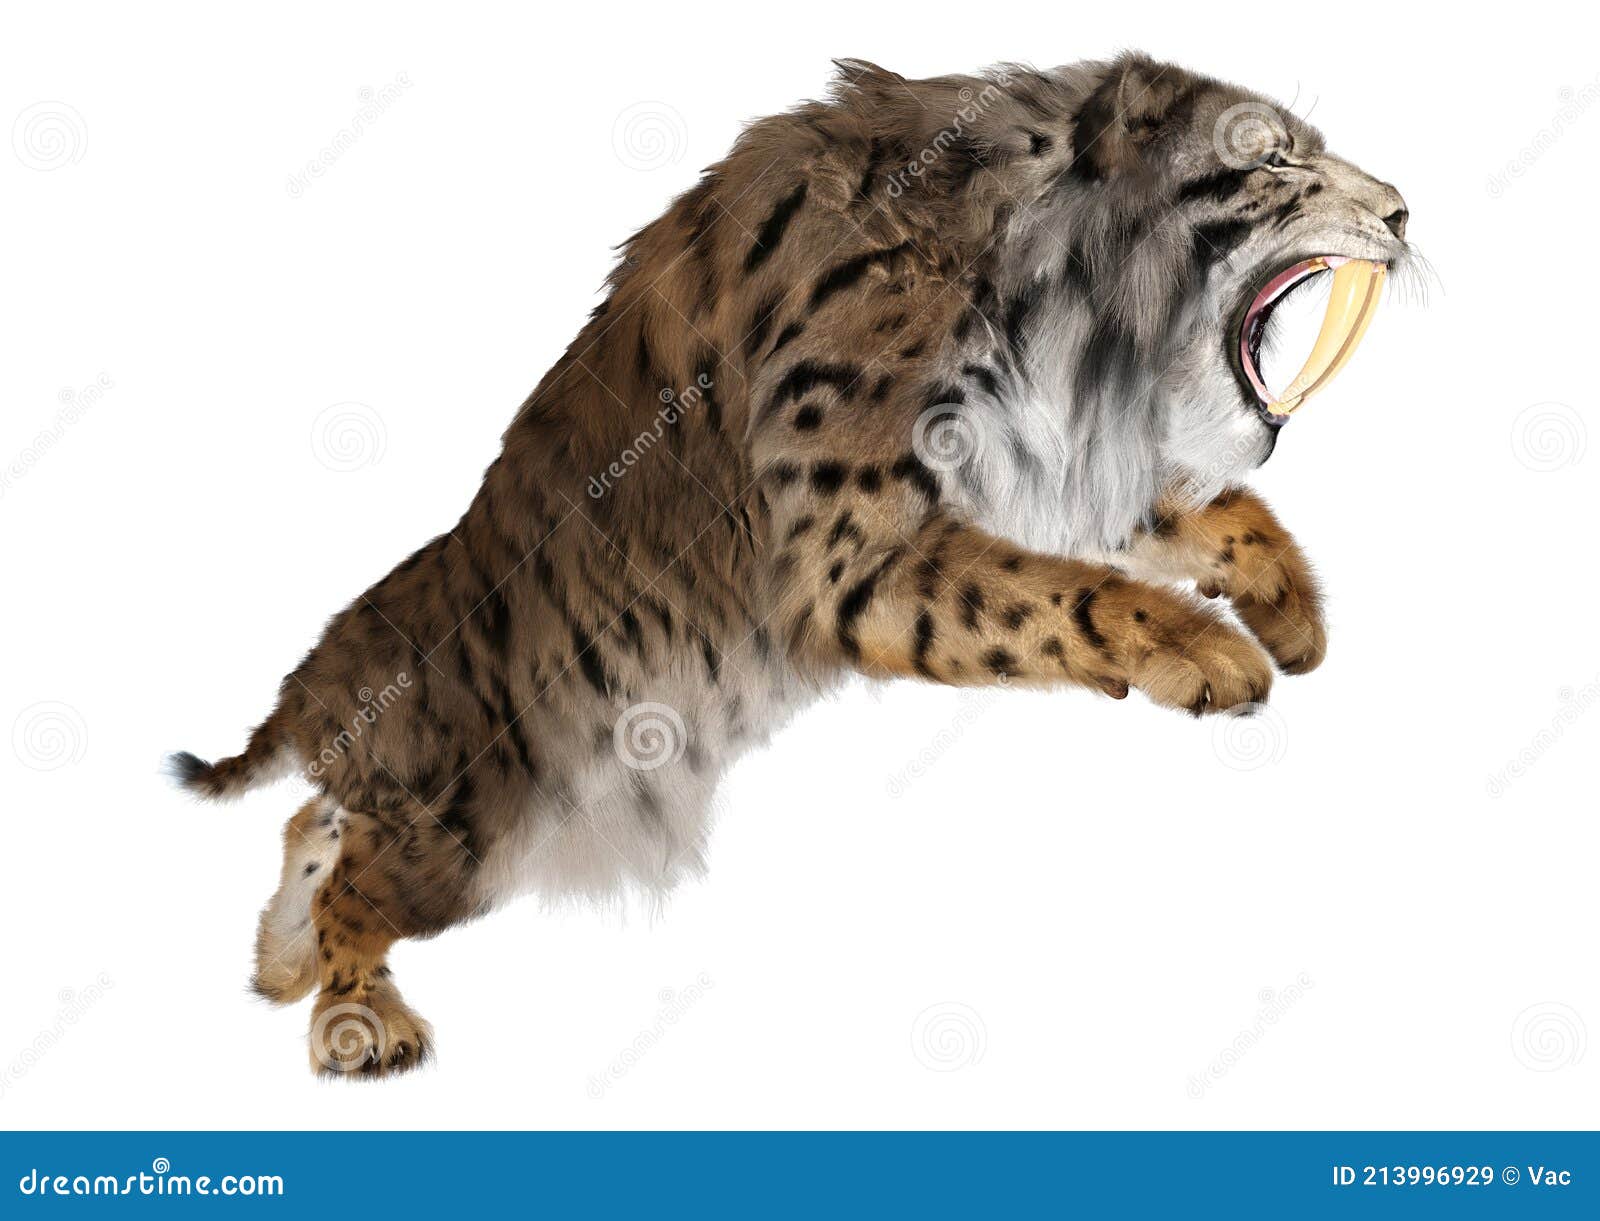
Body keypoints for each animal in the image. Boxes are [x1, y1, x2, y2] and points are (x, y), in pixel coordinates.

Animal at [169, 52, 1412, 1077]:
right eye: (1277, 159)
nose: (1404, 210)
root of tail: (314, 678)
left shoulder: (1011, 464)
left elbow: (1192, 513)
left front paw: (1286, 609)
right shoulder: (848, 553)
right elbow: (1061, 595)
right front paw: (1206, 649)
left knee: (314, 820)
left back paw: (278, 965)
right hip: (476, 830)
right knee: (352, 871)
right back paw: (352, 1016)